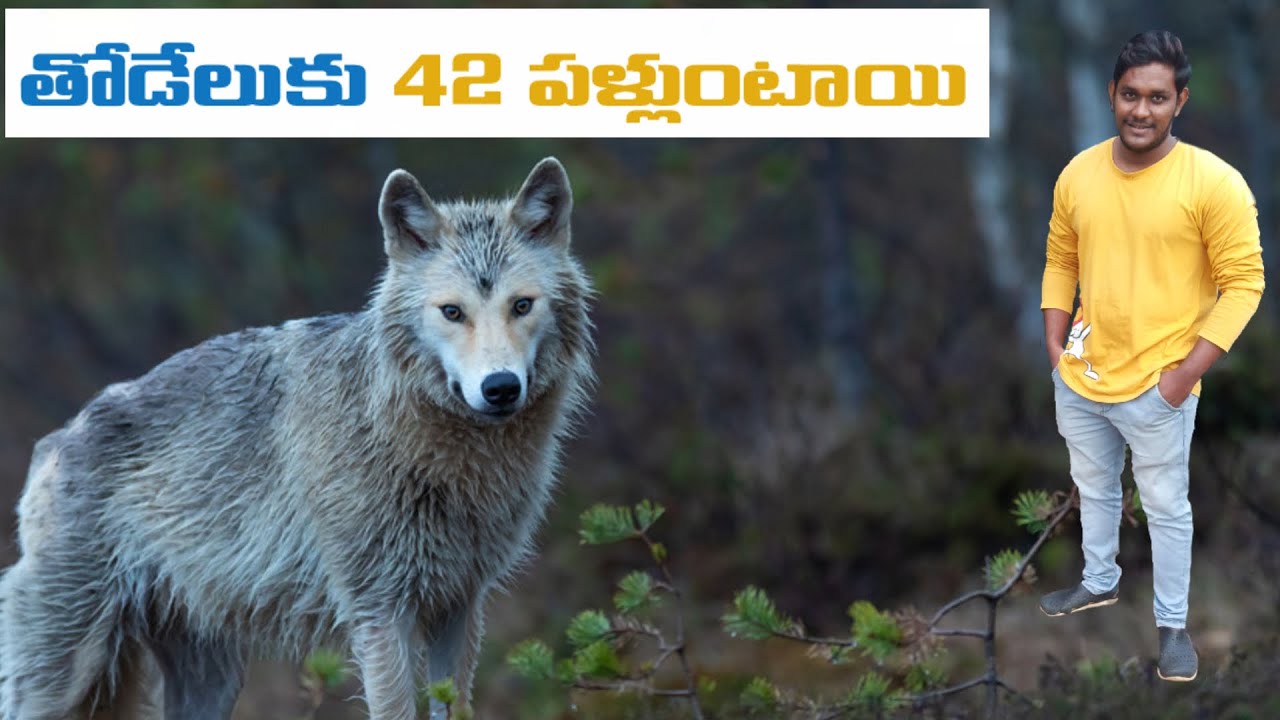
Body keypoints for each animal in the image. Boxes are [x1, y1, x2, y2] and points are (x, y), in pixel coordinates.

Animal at [0, 157, 595, 720]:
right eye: (453, 312)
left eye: (522, 305)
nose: (500, 388)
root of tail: (55, 439)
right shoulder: (379, 610)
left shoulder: (460, 606)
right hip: (65, 674)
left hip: (212, 680)